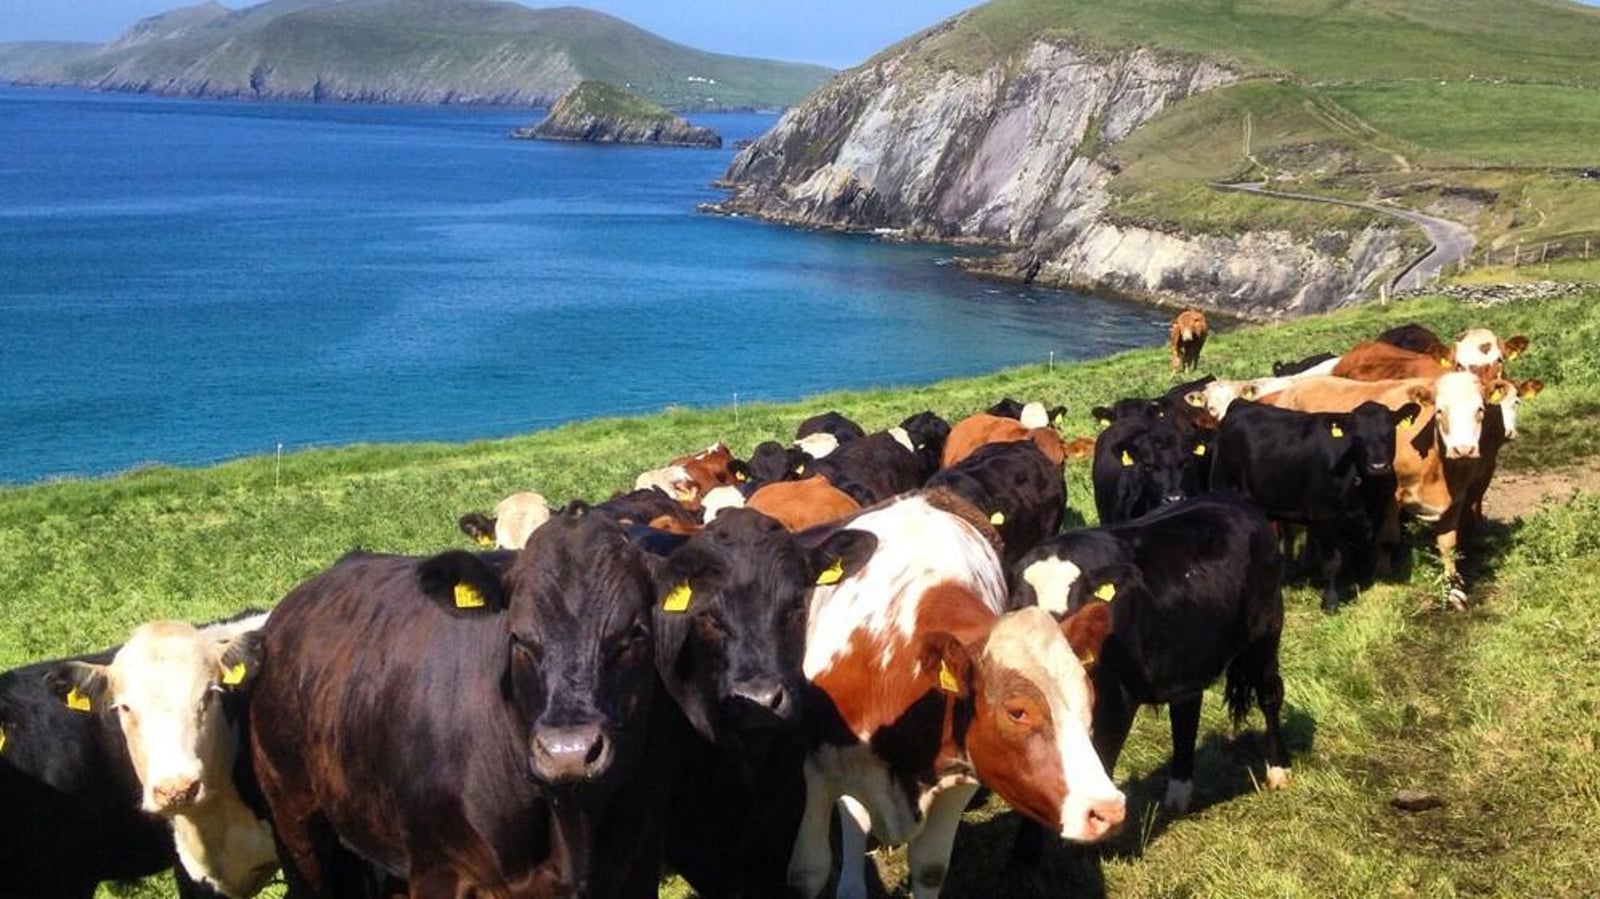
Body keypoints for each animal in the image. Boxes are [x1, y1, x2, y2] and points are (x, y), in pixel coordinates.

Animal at [249, 508, 666, 897]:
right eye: (518, 637)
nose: (569, 754)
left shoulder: (636, 867)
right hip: (294, 816)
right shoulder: (440, 871)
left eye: (636, 632)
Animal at [791, 490, 1125, 899]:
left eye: (1088, 703)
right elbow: (811, 869)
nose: (1108, 810)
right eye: (1017, 712)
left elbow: (930, 868)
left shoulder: (961, 778)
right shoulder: (816, 770)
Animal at [1010, 495, 1291, 822]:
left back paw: (1279, 770)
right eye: (1018, 607)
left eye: (1079, 608)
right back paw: (1178, 795)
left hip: (1265, 633)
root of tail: (1237, 502)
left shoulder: (1115, 704)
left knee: (1270, 693)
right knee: (1186, 713)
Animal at [1210, 400, 1417, 612]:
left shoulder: (1375, 514)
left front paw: (1356, 587)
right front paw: (1330, 602)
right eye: (1356, 437)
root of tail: (1241, 404)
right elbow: (1333, 562)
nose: (1378, 466)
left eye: (1390, 432)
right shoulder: (1324, 517)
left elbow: (1359, 553)